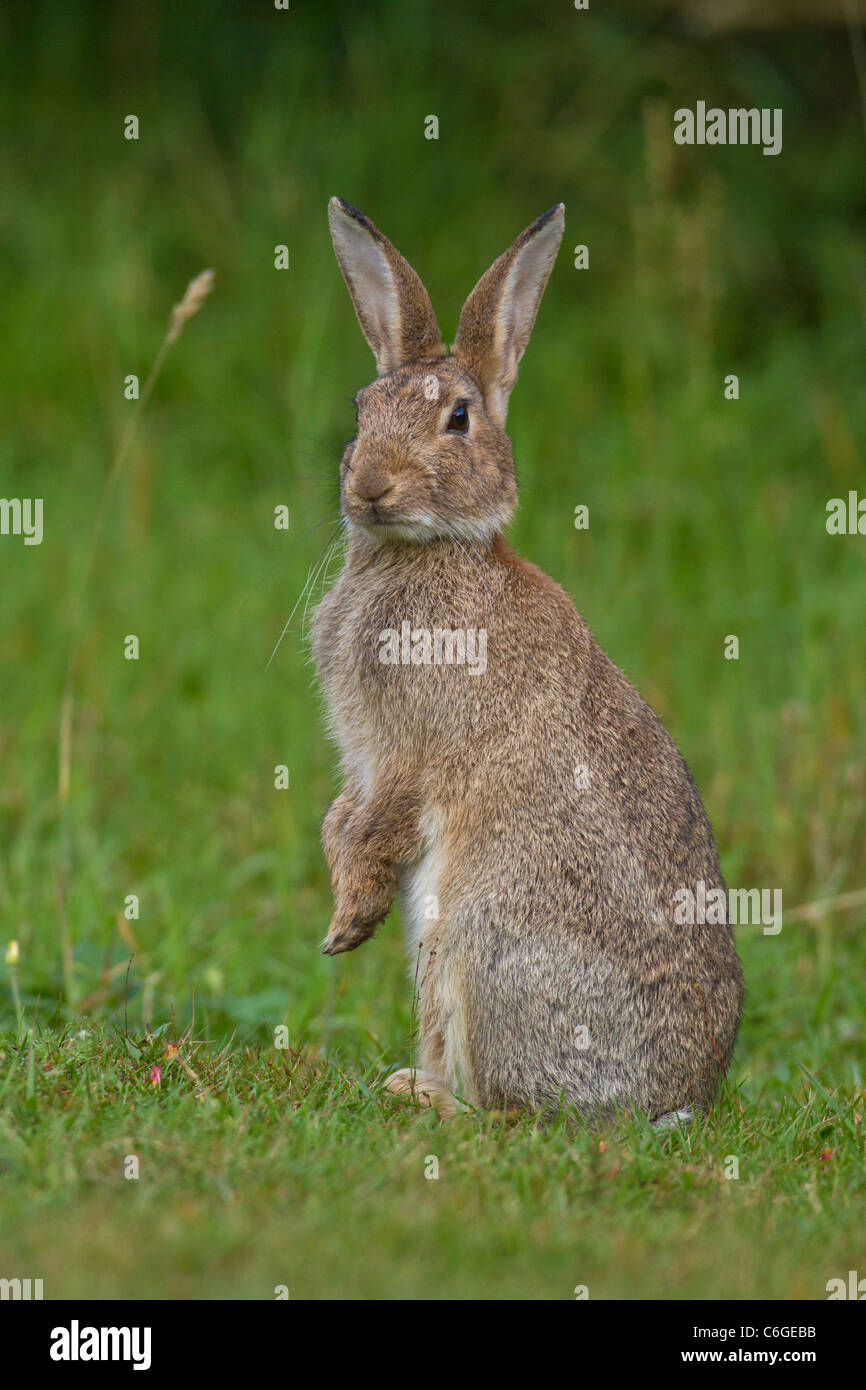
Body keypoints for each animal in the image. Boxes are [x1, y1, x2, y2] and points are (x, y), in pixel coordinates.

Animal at [312, 196, 744, 1125]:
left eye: (458, 419)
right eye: (362, 408)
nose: (370, 487)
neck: (430, 551)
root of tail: (673, 1101)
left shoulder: (418, 751)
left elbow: (379, 822)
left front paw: (347, 921)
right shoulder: (364, 758)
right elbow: (341, 816)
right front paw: (343, 918)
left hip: (483, 944)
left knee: (521, 1114)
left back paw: (429, 1099)